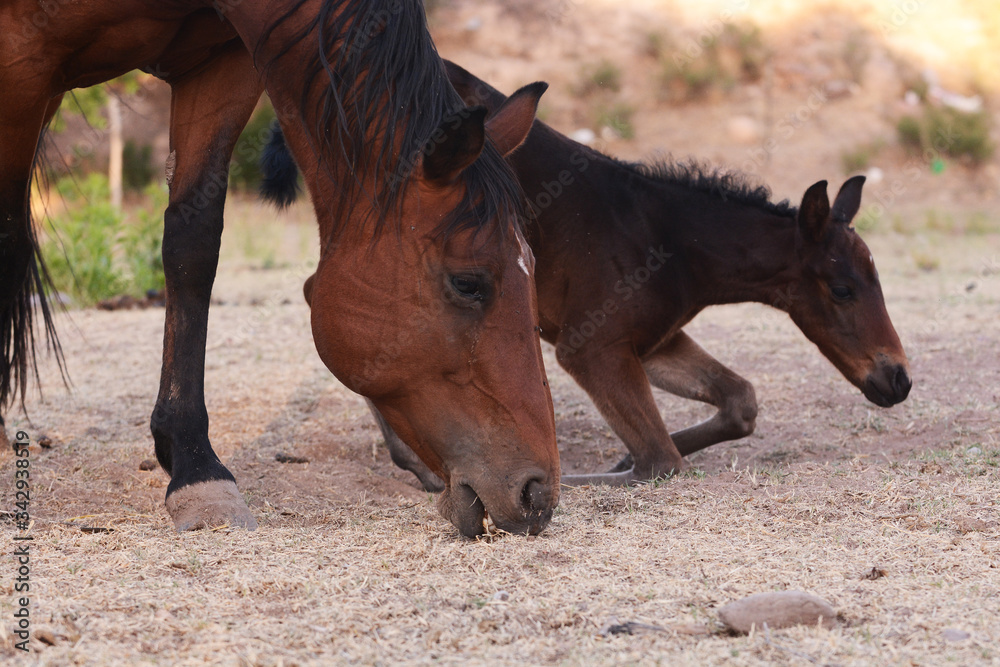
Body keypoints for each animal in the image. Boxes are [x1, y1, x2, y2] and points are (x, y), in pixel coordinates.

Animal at [0, 2, 559, 538]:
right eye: (468, 283)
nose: (538, 493)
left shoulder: (219, 65)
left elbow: (192, 246)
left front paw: (195, 467)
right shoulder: (22, 63)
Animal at [261, 60, 912, 491]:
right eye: (843, 289)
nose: (897, 380)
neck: (677, 244)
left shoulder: (649, 341)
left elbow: (739, 403)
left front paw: (618, 459)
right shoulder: (590, 344)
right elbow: (659, 462)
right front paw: (573, 476)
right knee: (328, 293)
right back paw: (418, 461)